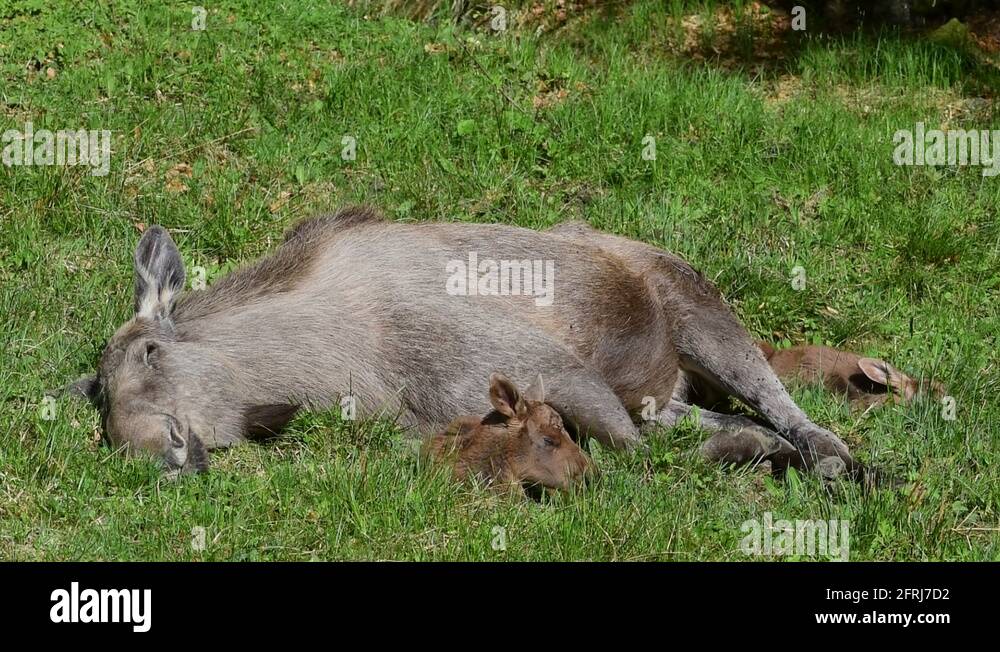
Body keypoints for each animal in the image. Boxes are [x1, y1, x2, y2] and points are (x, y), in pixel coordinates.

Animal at [68, 207, 861, 481]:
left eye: (148, 353)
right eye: (100, 400)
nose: (159, 451)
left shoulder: (551, 368)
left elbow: (633, 461)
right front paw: (748, 457)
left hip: (700, 312)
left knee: (792, 410)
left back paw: (841, 463)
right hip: (665, 393)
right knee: (713, 418)